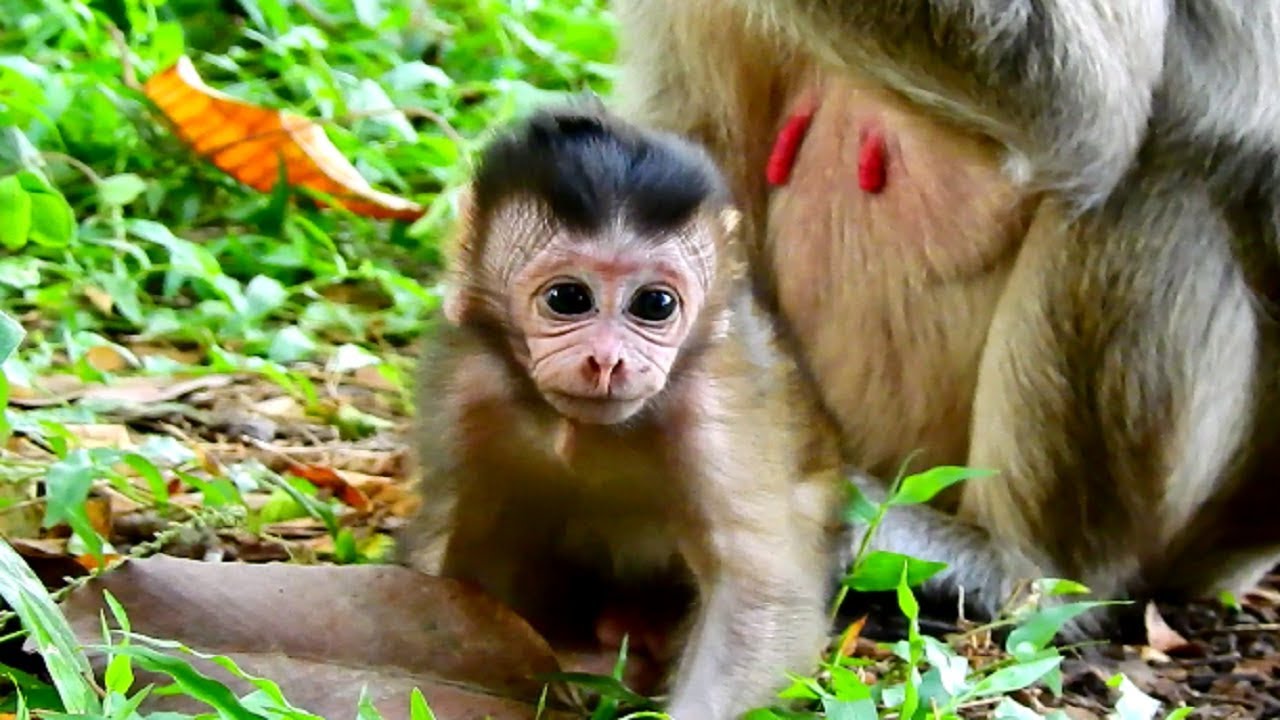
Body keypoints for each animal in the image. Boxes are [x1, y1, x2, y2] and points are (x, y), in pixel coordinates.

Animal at [397, 104, 853, 719]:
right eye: (568, 299)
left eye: (654, 304)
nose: (607, 360)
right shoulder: (466, 387)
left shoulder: (714, 414)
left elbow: (760, 597)